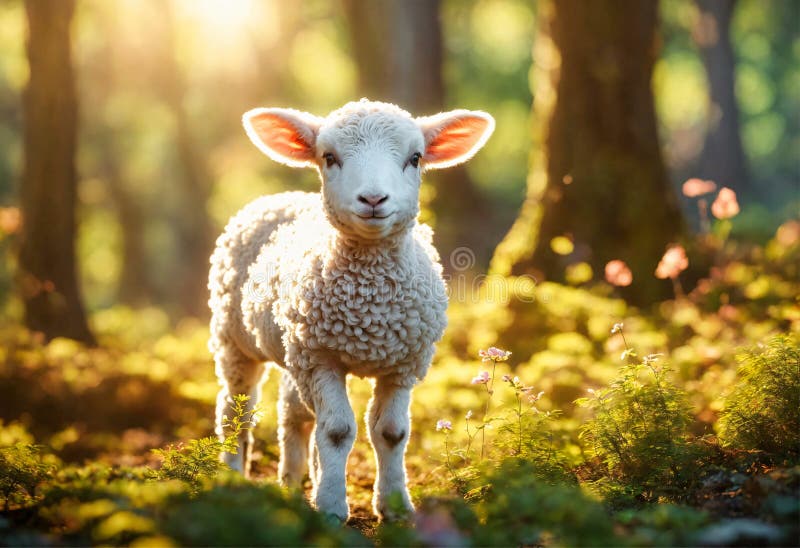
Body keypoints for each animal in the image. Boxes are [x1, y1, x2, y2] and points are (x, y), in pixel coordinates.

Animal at [209, 99, 494, 522]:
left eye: (415, 158)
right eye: (329, 157)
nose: (373, 200)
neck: (369, 307)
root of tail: (281, 196)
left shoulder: (403, 364)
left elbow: (391, 432)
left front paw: (394, 506)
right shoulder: (322, 360)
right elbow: (337, 431)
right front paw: (331, 506)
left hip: (294, 346)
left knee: (293, 412)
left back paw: (293, 480)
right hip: (235, 340)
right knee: (235, 410)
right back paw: (233, 476)